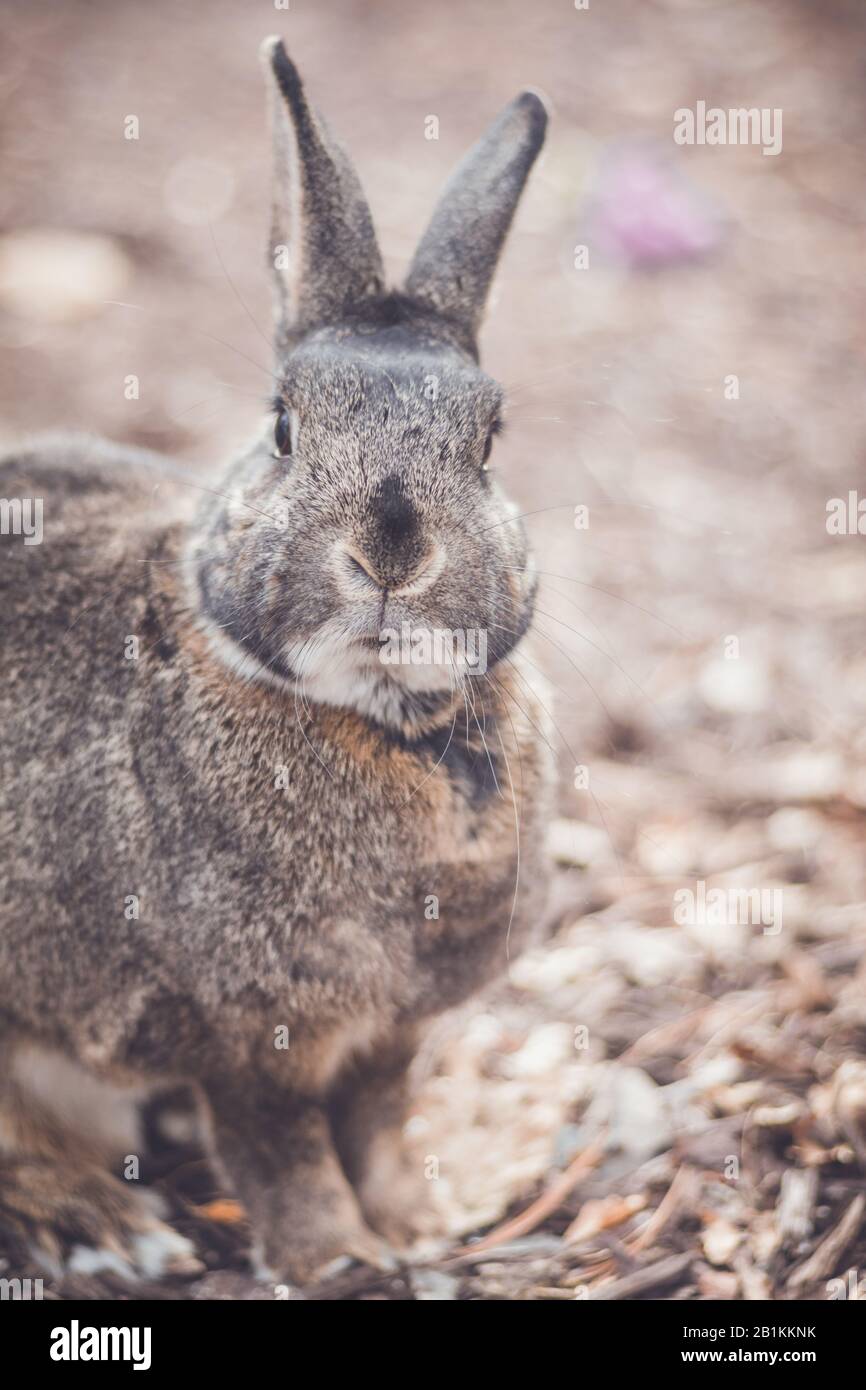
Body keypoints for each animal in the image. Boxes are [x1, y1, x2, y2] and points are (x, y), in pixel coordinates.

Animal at [0, 38, 554, 1286]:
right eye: (284, 428)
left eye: (489, 439)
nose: (391, 546)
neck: (396, 721)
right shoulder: (248, 1039)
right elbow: (286, 1156)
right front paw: (341, 1261)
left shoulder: (390, 1033)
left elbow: (379, 1121)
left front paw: (416, 1225)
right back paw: (98, 1219)